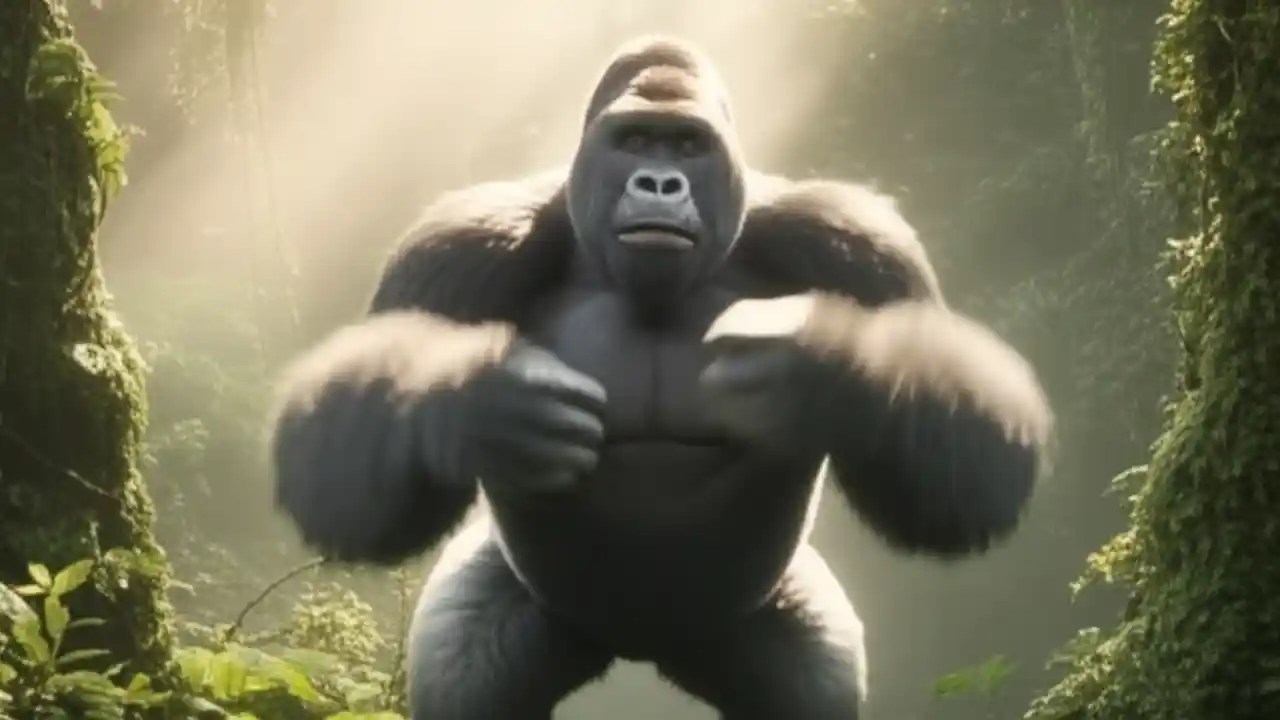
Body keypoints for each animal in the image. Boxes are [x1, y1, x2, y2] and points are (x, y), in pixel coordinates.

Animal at [270, 36, 1052, 720]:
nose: (659, 182)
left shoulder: (855, 241)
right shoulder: (455, 247)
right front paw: (484, 408)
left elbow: (971, 482)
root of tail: (640, 649)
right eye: (635, 141)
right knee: (467, 674)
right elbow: (340, 489)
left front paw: (819, 374)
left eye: (685, 145)